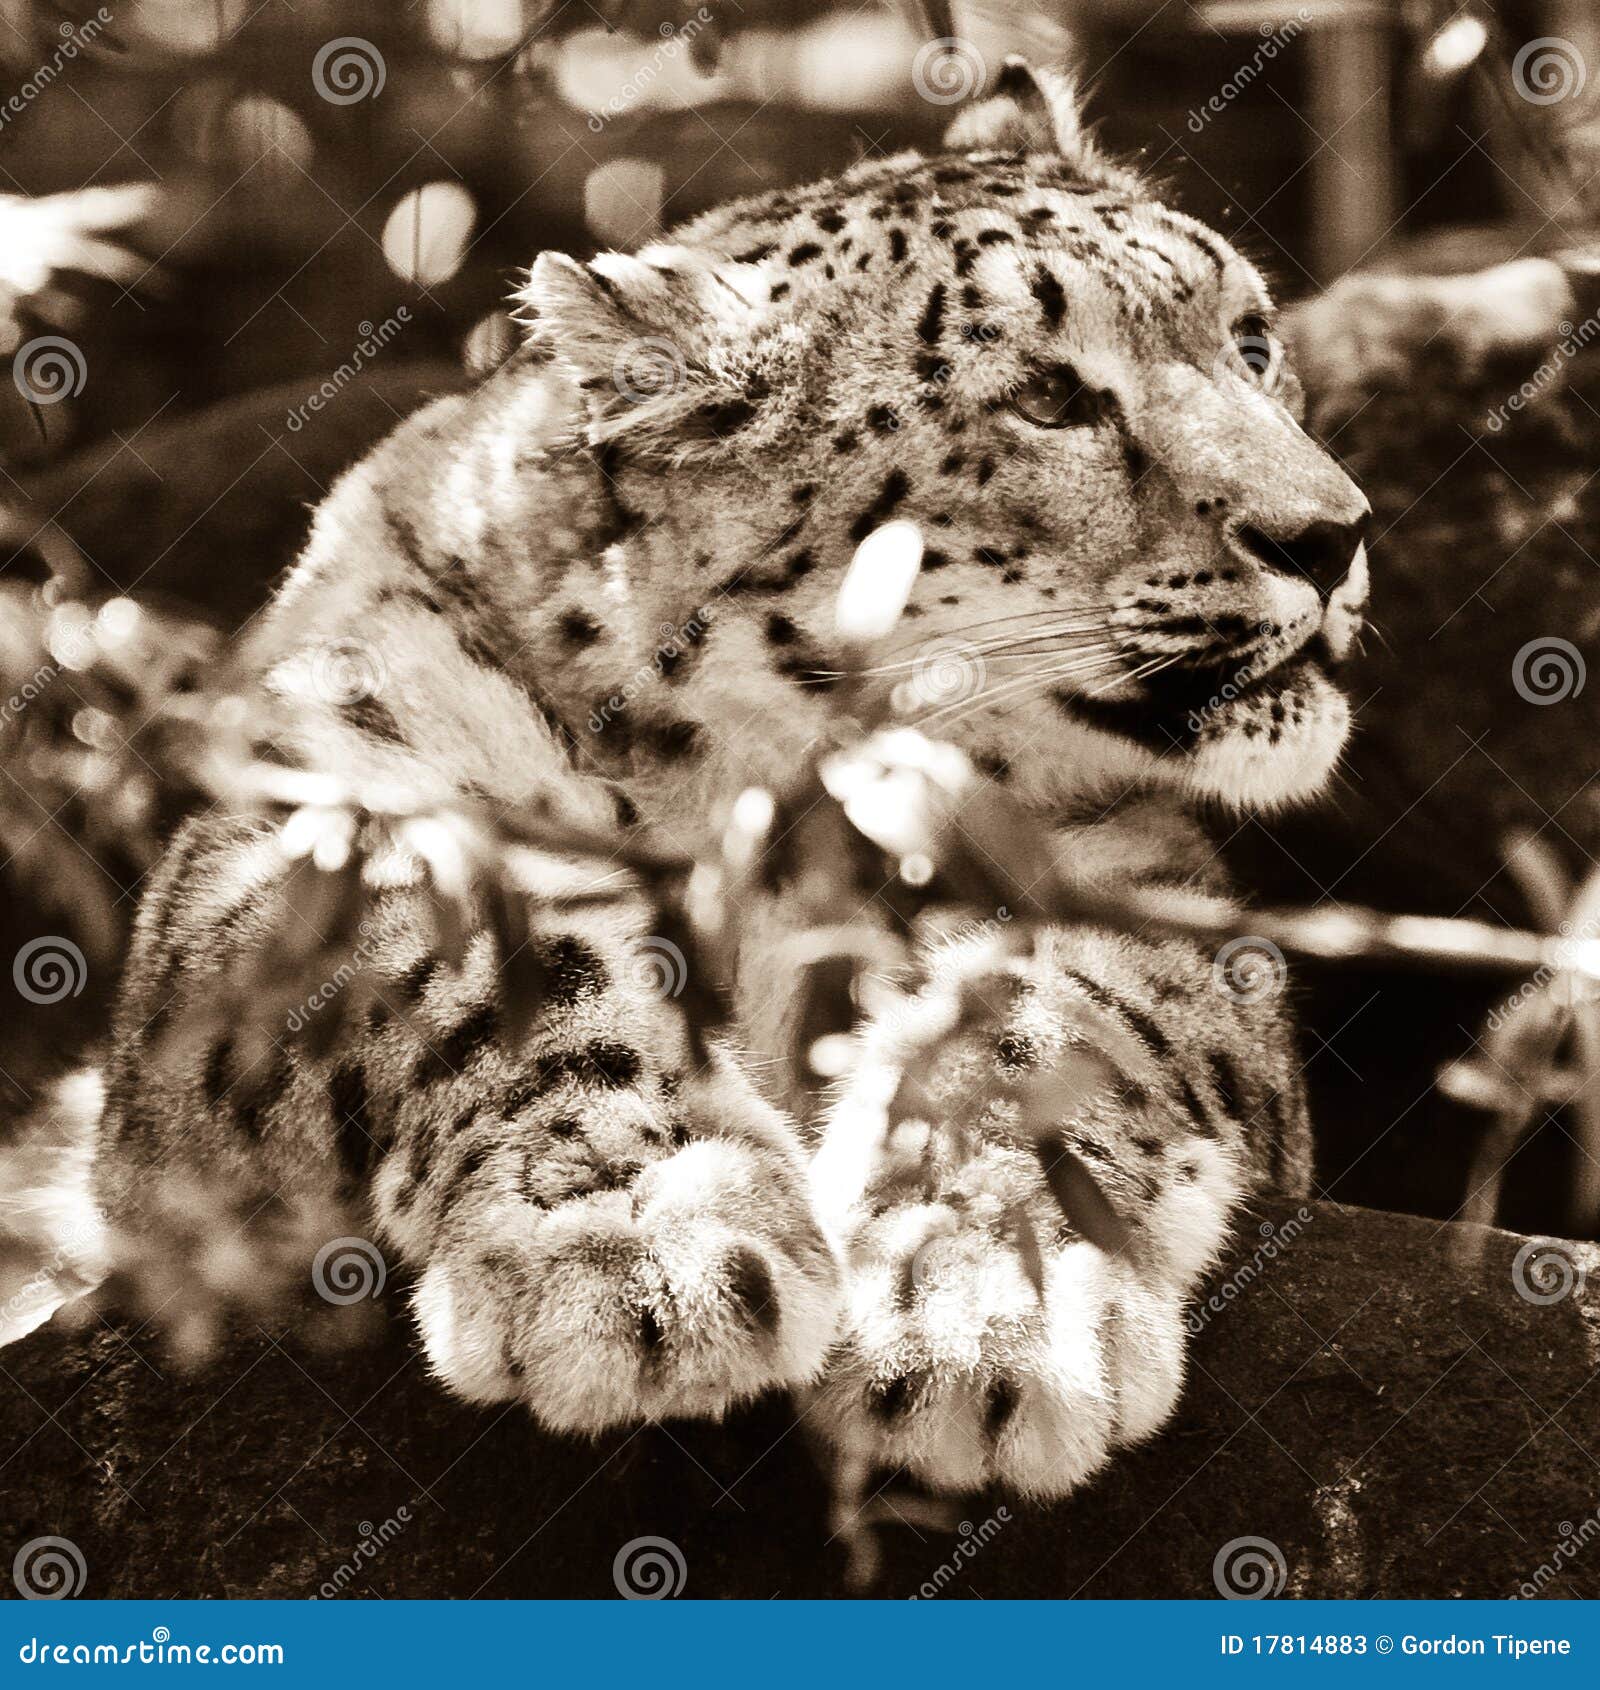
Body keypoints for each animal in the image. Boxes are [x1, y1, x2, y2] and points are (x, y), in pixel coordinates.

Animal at [88, 60, 1371, 1500]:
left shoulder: (1135, 875)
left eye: (1251, 339)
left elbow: (1055, 1027)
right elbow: (480, 968)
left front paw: (974, 1315)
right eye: (1049, 398)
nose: (1333, 533)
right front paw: (647, 1249)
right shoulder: (321, 797)